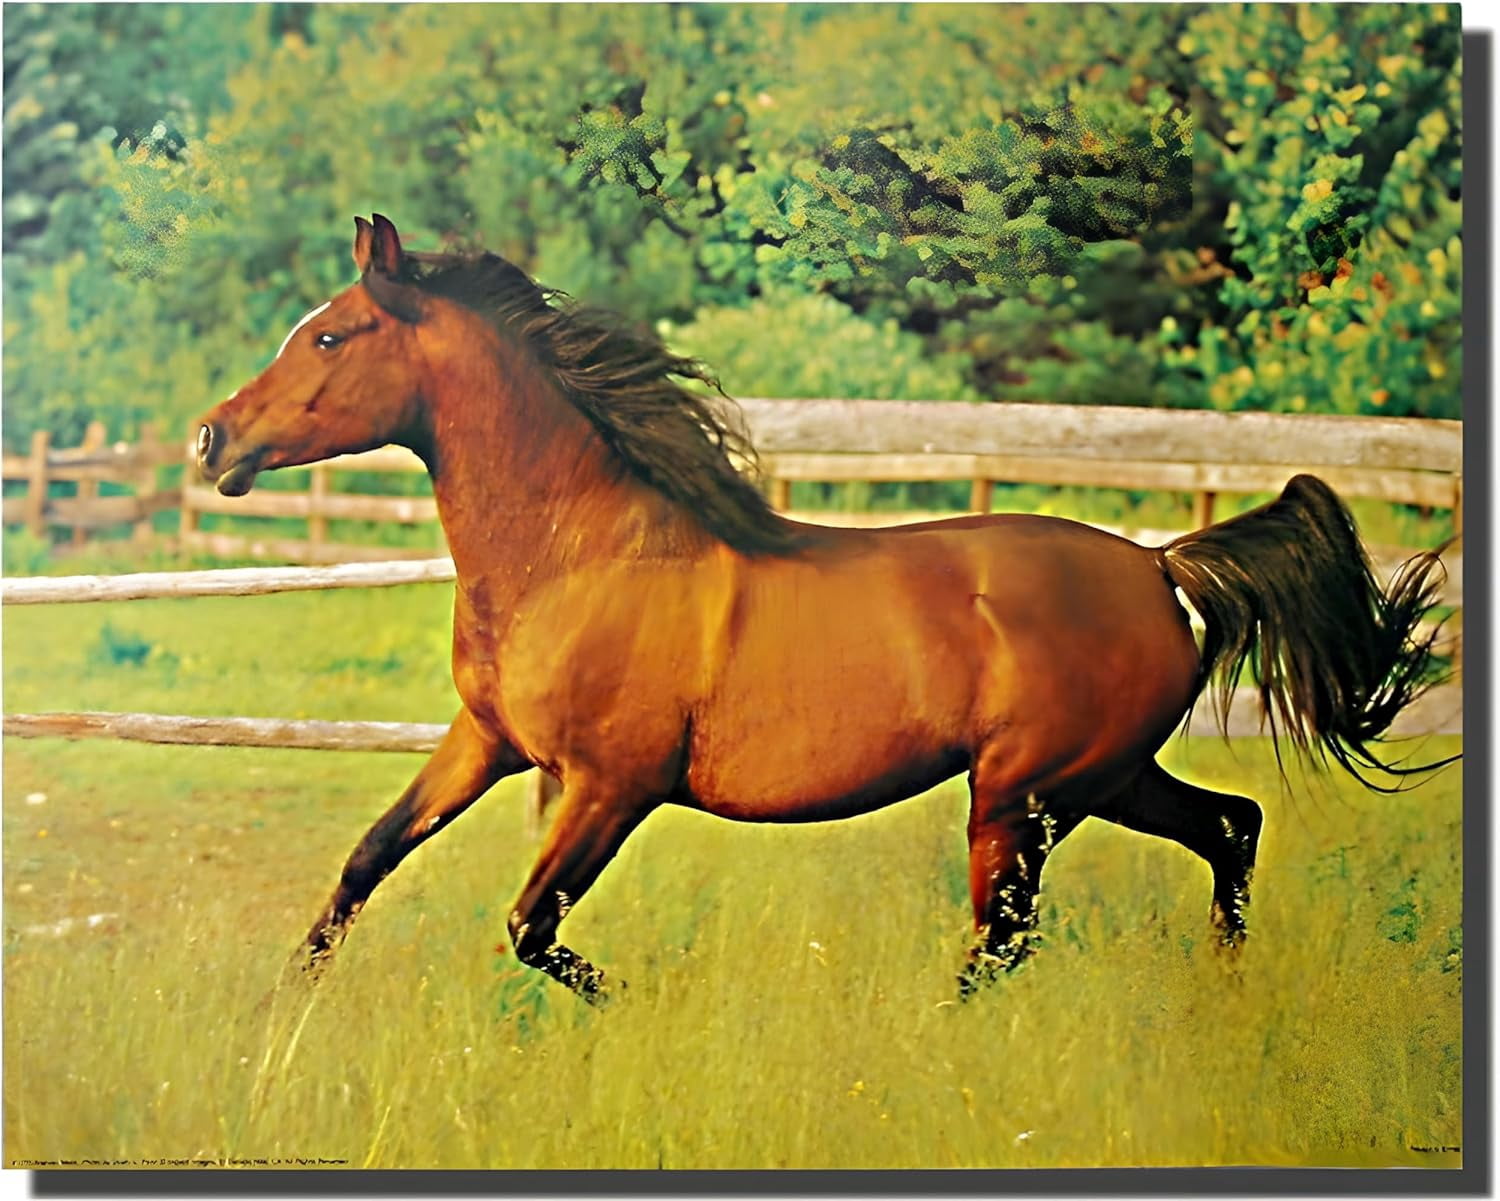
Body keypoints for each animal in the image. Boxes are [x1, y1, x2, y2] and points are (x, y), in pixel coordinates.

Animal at [196, 214, 1453, 1004]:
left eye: (327, 334)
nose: (213, 438)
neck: (580, 555)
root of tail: (1160, 568)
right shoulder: (488, 742)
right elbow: (367, 860)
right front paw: (280, 1008)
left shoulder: (611, 786)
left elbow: (530, 926)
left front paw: (641, 1004)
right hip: (1103, 778)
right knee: (1228, 827)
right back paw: (1221, 987)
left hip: (1022, 796)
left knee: (1006, 940)